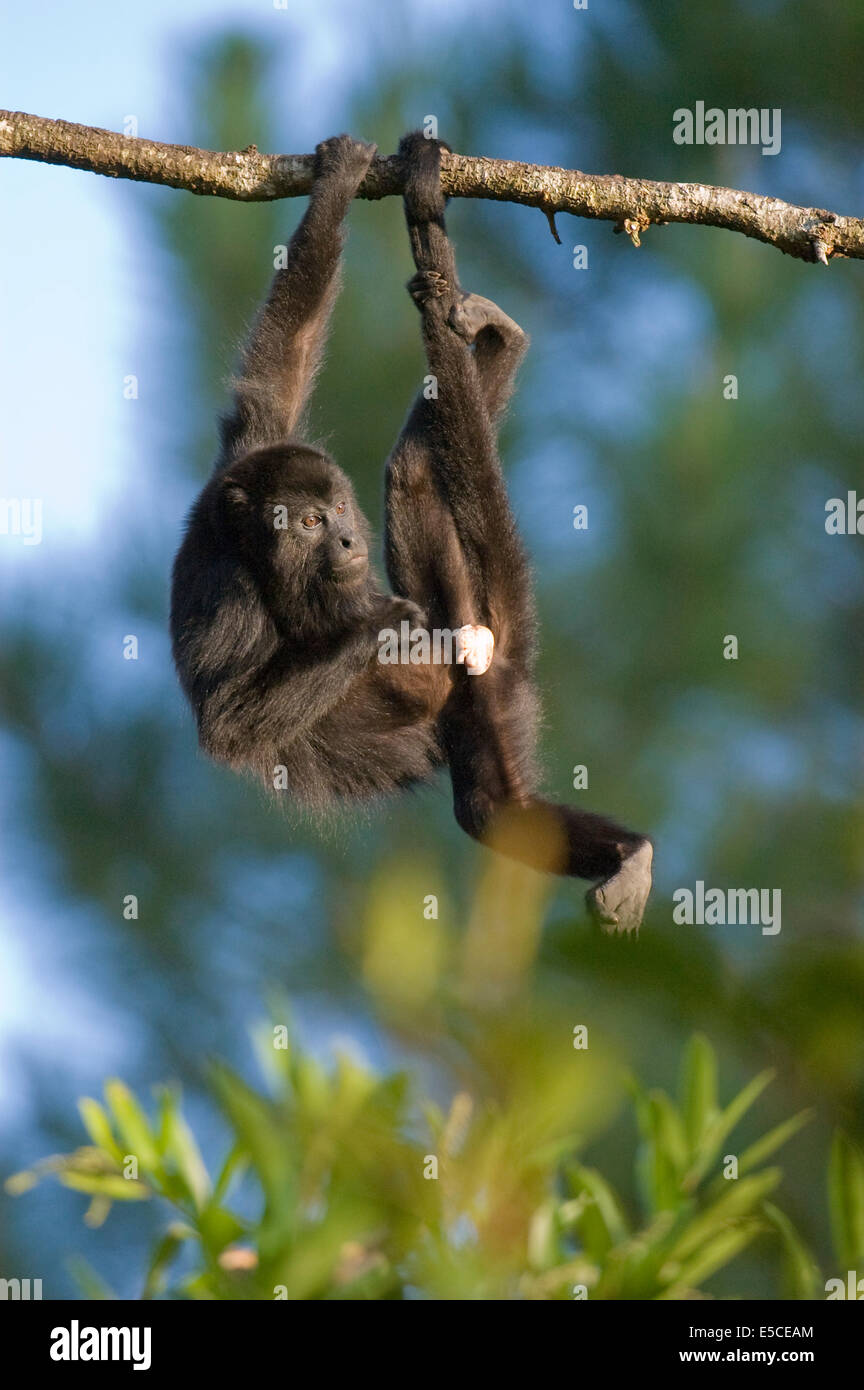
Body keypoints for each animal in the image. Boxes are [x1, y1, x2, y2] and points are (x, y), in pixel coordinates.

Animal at [170, 131, 653, 931]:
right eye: (308, 522)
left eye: (336, 509)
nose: (345, 542)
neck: (237, 535)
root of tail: (489, 641)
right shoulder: (226, 587)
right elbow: (227, 724)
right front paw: (376, 622)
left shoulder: (252, 448)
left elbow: (287, 345)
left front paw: (337, 177)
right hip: (481, 689)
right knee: (495, 807)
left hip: (475, 654)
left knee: (413, 472)